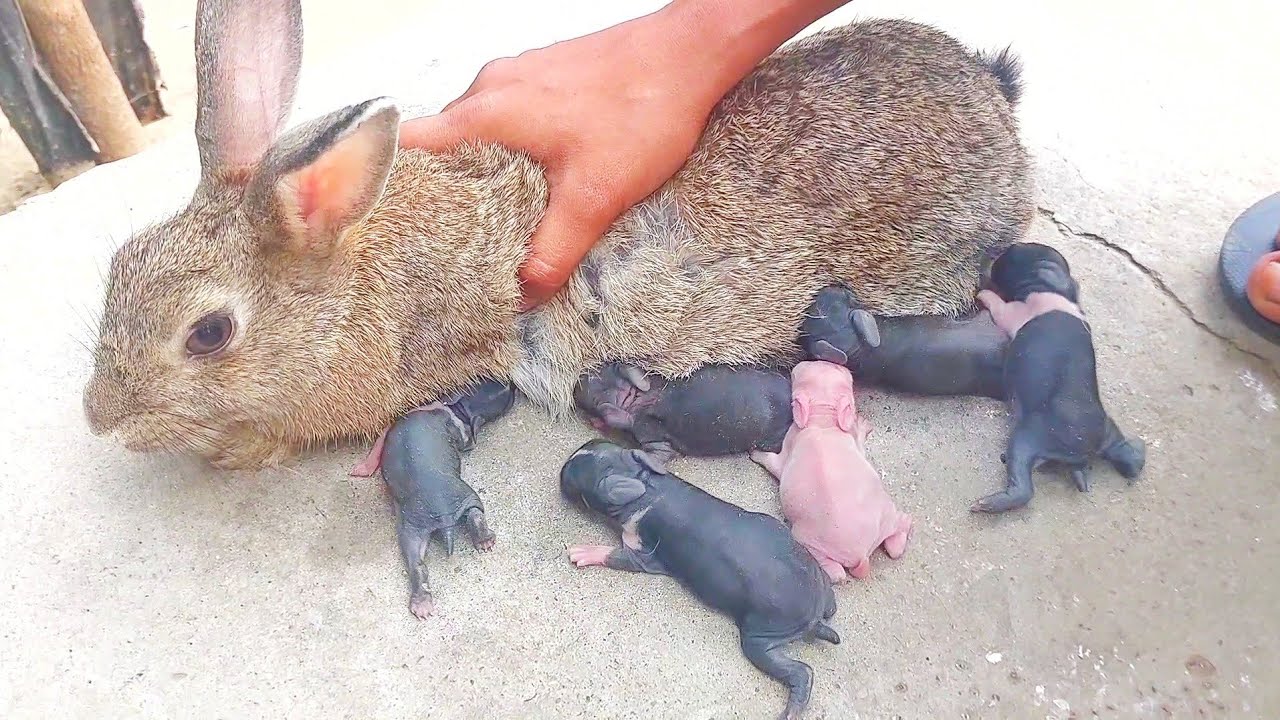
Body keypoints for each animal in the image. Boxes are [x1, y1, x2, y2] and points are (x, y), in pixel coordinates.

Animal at [83, 0, 1034, 470]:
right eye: (117, 266)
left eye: (209, 333)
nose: (99, 419)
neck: (353, 287)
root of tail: (994, 97)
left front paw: (242, 451)